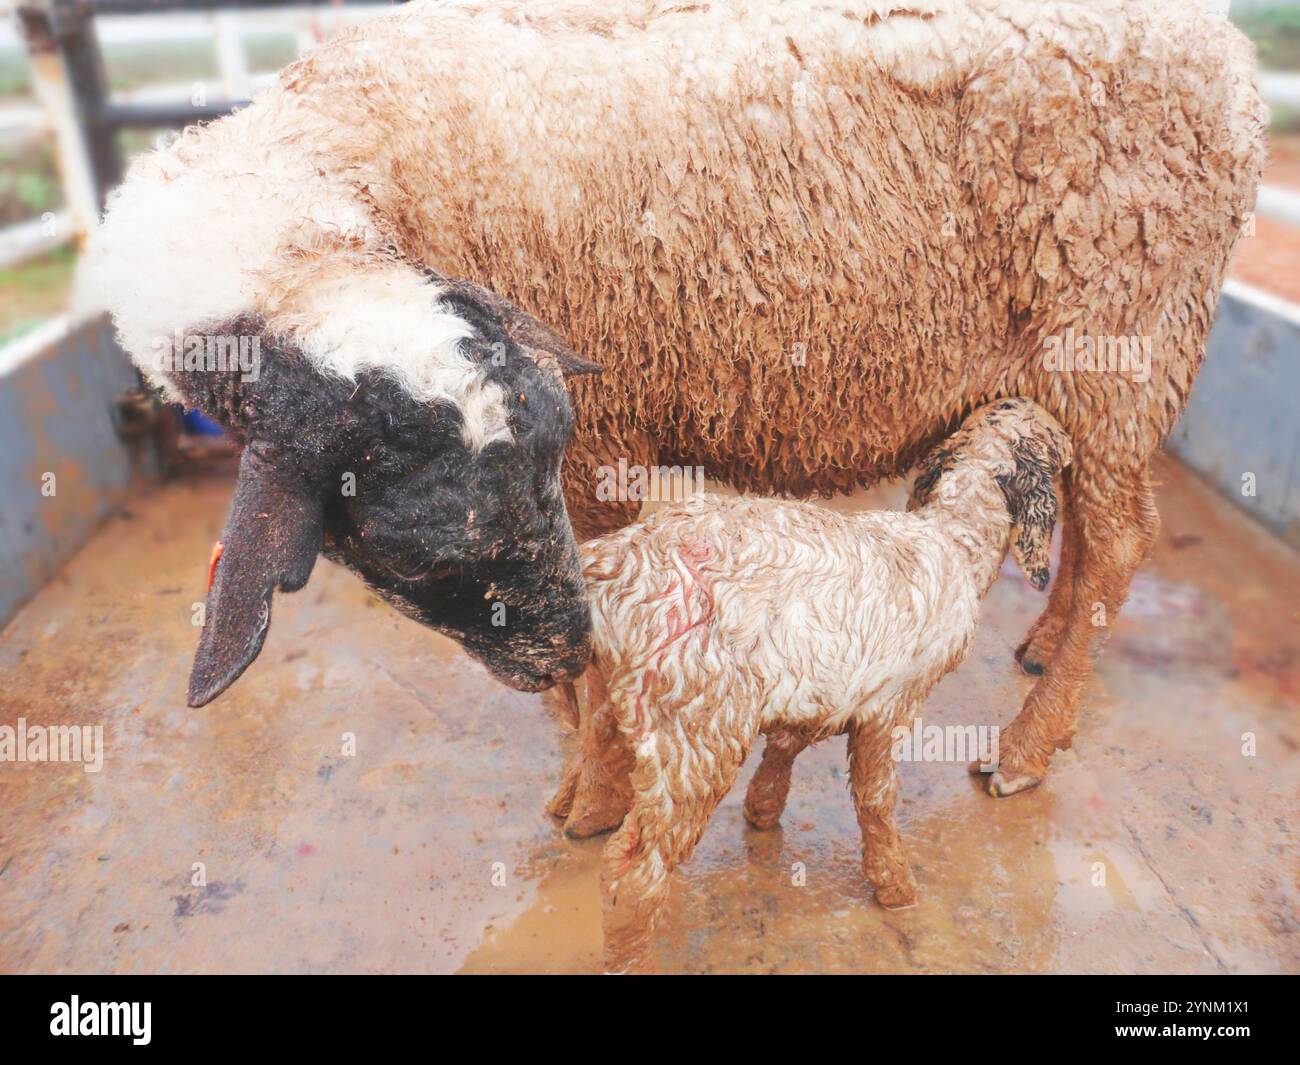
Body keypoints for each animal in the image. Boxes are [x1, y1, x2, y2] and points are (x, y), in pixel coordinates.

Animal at [86, 0, 1264, 791]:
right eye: (410, 554)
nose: (557, 650)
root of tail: (1230, 54)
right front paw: (577, 739)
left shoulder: (603, 438)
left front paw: (596, 787)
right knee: (1092, 521)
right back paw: (1044, 649)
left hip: (1121, 330)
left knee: (1120, 539)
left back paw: (1027, 745)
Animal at [562, 398, 1072, 973]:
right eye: (1055, 439)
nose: (1074, 446)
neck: (953, 538)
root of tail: (610, 567)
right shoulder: (893, 702)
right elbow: (876, 798)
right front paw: (896, 886)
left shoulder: (822, 679)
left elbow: (789, 742)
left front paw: (763, 809)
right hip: (698, 727)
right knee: (633, 873)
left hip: (622, 699)